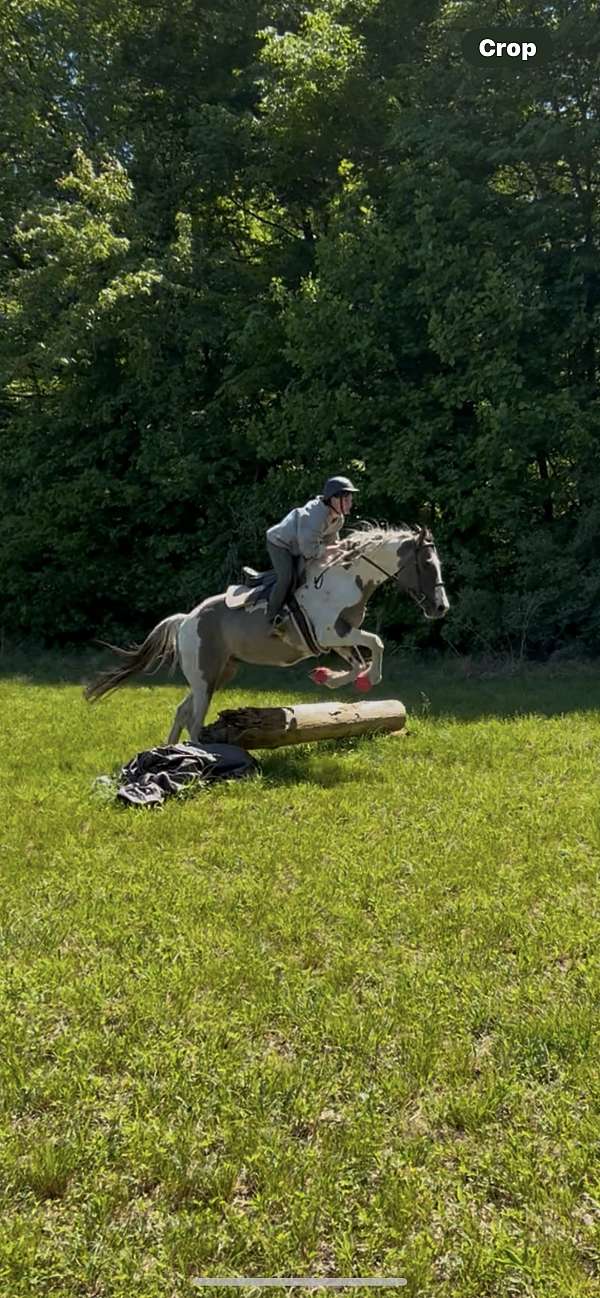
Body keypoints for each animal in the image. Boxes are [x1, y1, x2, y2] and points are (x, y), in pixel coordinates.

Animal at [84, 524, 449, 742]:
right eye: (426, 565)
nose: (441, 608)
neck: (346, 579)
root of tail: (186, 619)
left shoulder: (341, 638)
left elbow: (362, 657)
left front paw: (330, 679)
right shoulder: (331, 633)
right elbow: (377, 642)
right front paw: (367, 679)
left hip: (220, 672)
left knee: (182, 711)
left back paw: (169, 752)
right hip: (206, 676)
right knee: (195, 718)